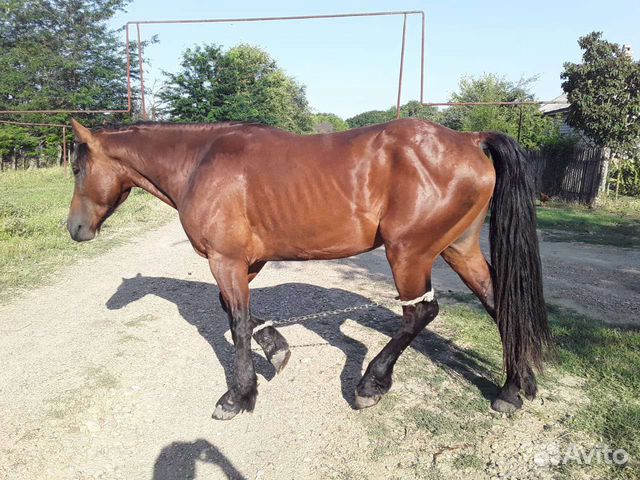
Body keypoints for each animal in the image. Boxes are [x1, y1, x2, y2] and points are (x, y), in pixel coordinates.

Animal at [67, 117, 551, 420]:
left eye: (76, 168)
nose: (74, 229)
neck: (201, 161)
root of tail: (469, 139)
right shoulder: (246, 263)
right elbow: (238, 313)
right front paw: (277, 351)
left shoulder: (226, 260)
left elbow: (236, 322)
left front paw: (238, 396)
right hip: (458, 248)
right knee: (500, 304)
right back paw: (513, 389)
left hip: (409, 253)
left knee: (420, 313)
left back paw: (371, 384)